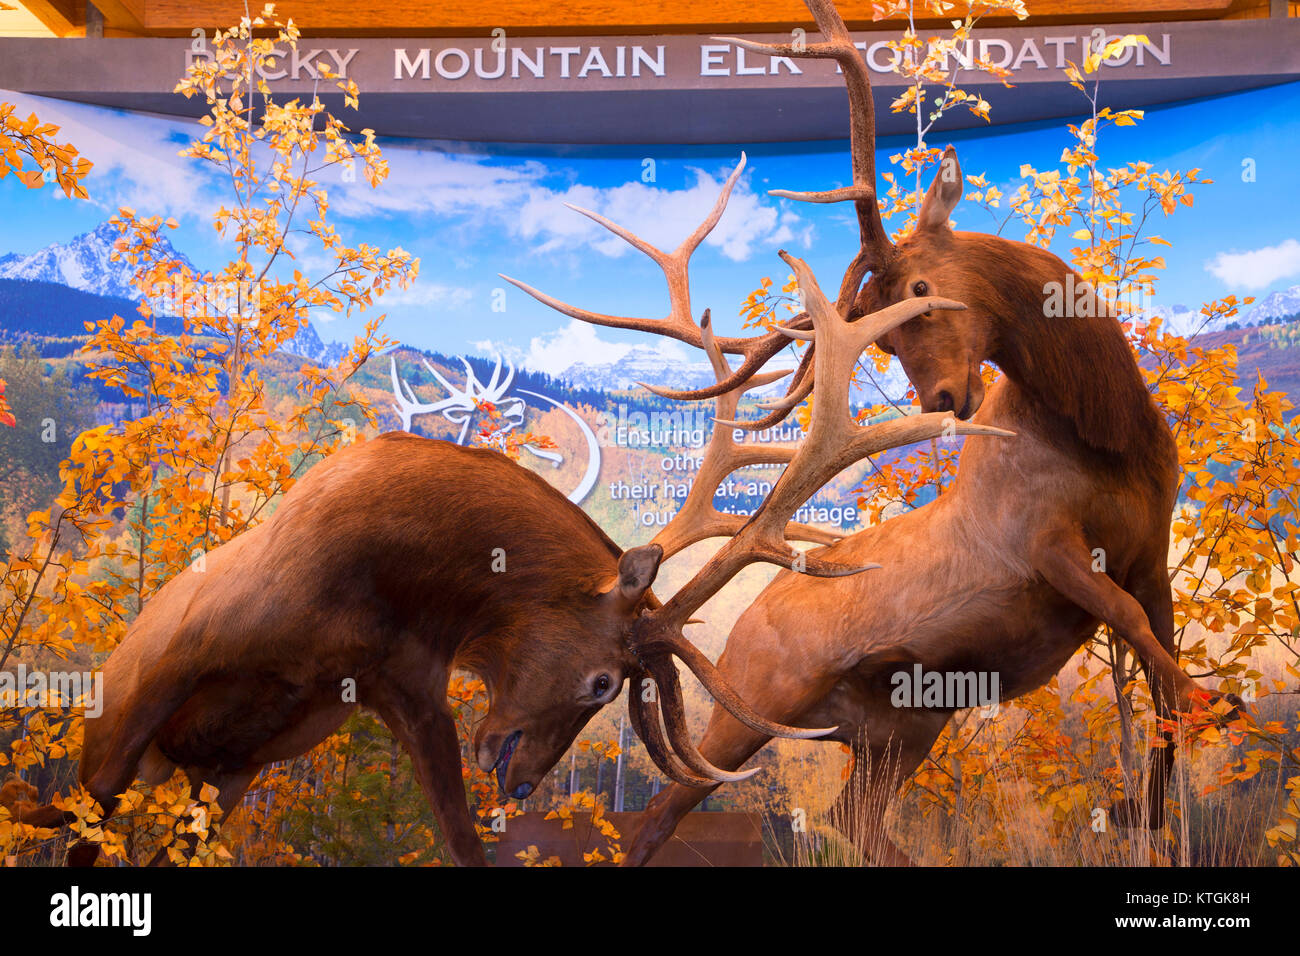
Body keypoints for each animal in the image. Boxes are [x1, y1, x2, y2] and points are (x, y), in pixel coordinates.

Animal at [505, 0, 1244, 867]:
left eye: (923, 290)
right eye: (883, 336)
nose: (948, 398)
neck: (1110, 435)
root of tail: (729, 625)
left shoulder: (1152, 552)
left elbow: (1158, 673)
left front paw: (1148, 806)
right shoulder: (1041, 540)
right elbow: (1134, 632)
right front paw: (1212, 709)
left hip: (898, 725)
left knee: (851, 818)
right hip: (758, 696)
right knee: (662, 813)